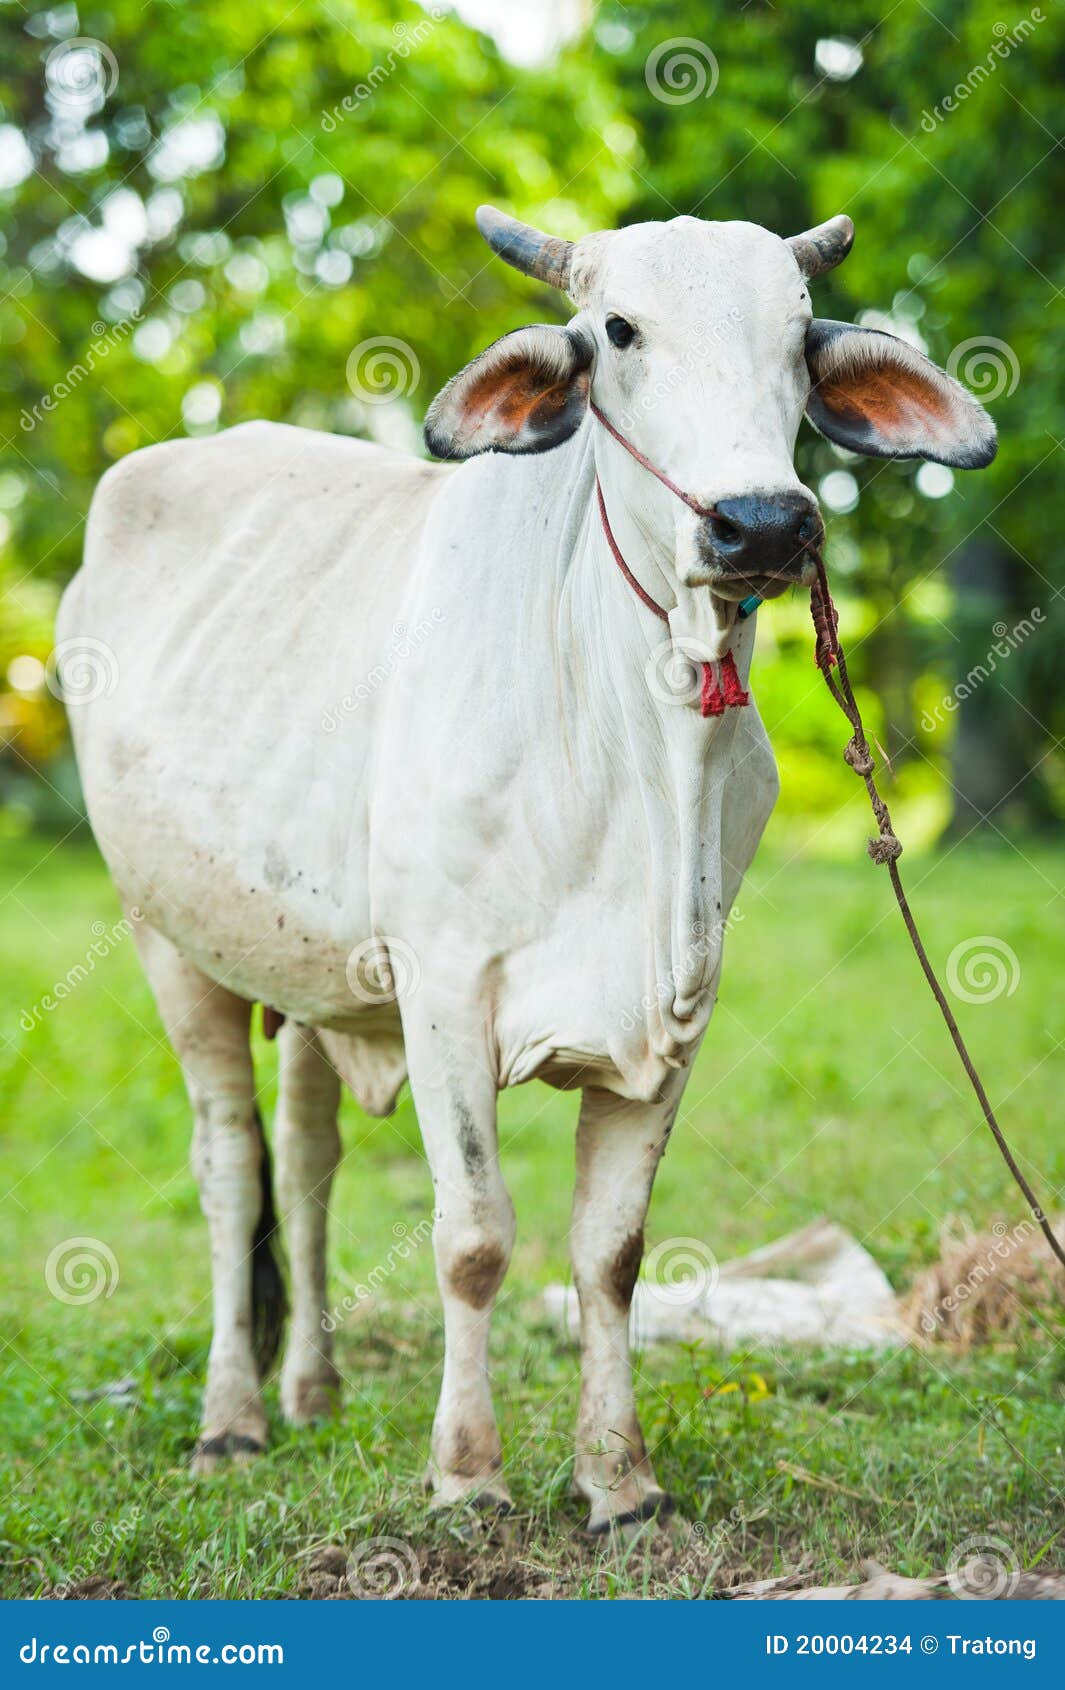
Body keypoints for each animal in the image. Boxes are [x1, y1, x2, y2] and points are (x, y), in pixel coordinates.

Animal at [57, 205, 995, 1533]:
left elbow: (612, 1250)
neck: (644, 743)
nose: (762, 525)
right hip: (166, 936)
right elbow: (475, 1237)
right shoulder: (446, 989)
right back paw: (232, 1419)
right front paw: (467, 1472)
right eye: (619, 330)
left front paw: (621, 1480)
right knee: (232, 1166)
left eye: (798, 335)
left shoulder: (683, 1003)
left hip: (307, 967)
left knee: (306, 1158)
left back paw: (312, 1392)